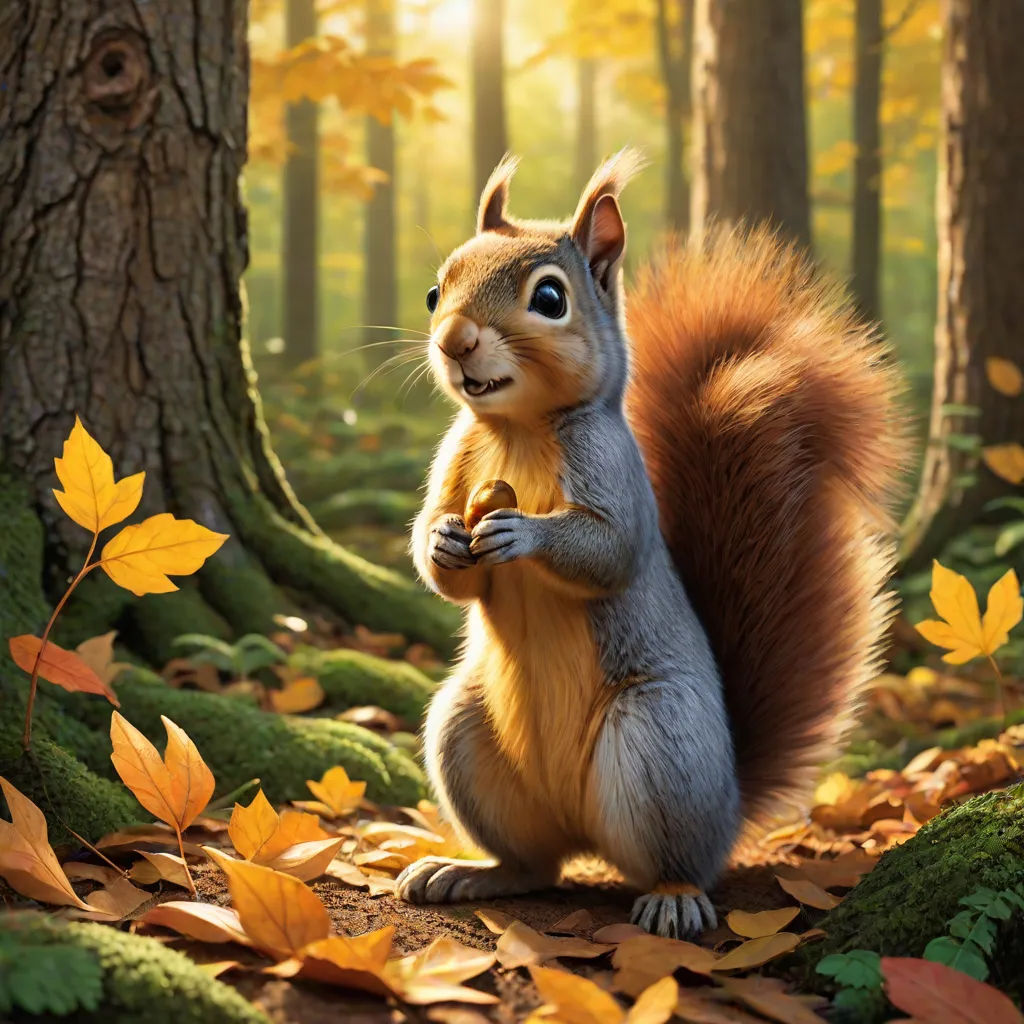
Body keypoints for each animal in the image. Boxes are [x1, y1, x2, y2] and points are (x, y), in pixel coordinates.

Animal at [395, 150, 905, 938]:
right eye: (433, 291)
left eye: (551, 297)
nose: (455, 342)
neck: (518, 430)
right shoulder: (455, 458)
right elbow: (437, 554)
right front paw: (447, 540)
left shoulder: (616, 472)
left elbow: (609, 551)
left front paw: (521, 532)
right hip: (464, 735)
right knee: (534, 865)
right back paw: (473, 872)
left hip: (658, 741)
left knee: (676, 860)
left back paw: (673, 897)